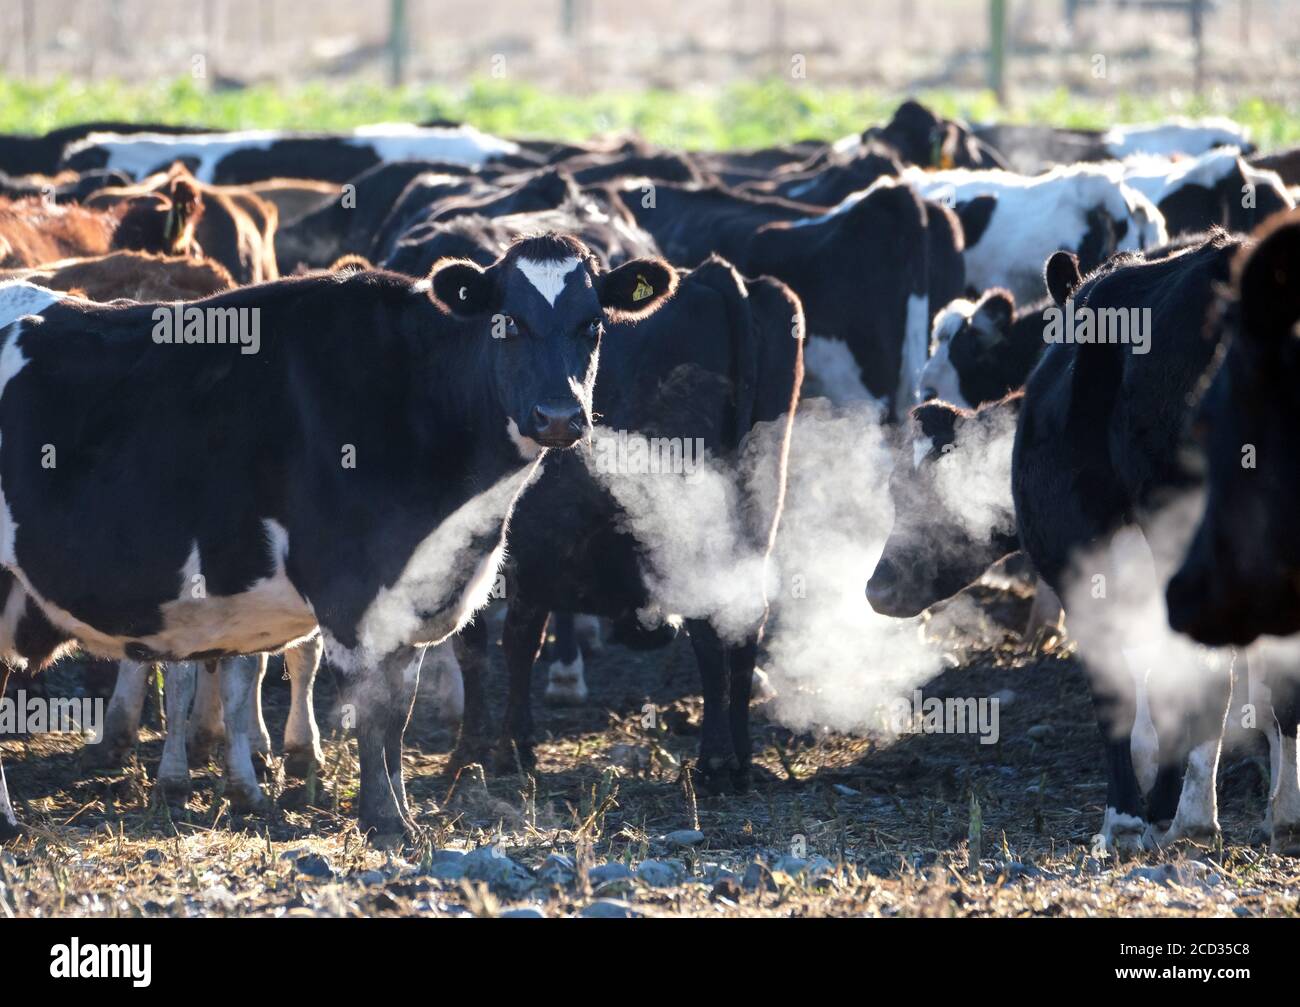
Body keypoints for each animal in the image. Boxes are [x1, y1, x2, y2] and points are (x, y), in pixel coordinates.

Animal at [0, 234, 677, 841]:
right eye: (507, 322)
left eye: (593, 325)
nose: (559, 416)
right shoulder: (352, 594)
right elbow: (371, 710)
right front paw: (382, 821)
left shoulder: (414, 600)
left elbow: (398, 712)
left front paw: (400, 813)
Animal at [451, 256, 802, 794]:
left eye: (592, 324)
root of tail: (714, 273)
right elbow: (515, 639)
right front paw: (512, 746)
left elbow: (484, 642)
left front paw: (477, 754)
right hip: (757, 510)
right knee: (744, 619)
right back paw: (741, 759)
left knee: (708, 626)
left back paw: (715, 763)